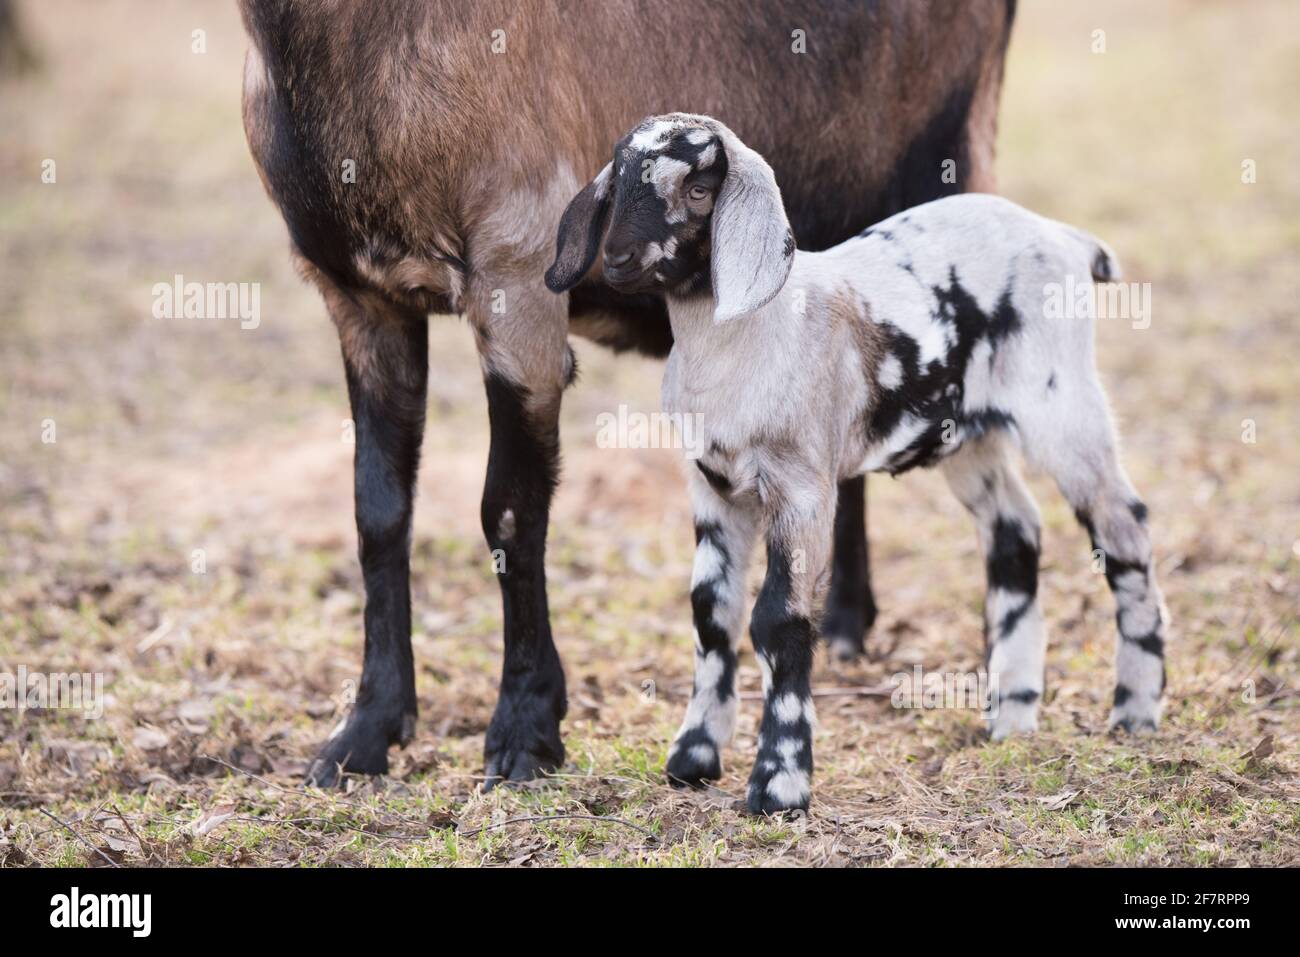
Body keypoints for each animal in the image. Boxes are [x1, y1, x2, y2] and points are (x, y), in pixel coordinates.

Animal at [237, 0, 1017, 788]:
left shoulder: (519, 282)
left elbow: (509, 511)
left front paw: (524, 732)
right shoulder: (361, 300)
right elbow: (378, 512)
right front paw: (362, 736)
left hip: (948, 161)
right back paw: (848, 623)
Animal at [546, 114, 1168, 815]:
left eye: (701, 189)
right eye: (621, 179)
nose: (619, 260)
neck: (750, 335)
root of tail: (1062, 236)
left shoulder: (804, 489)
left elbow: (779, 622)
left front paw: (779, 783)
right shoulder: (713, 488)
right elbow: (711, 613)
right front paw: (694, 757)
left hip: (1062, 406)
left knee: (1123, 527)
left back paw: (1135, 709)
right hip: (968, 438)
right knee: (1015, 531)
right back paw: (1012, 715)